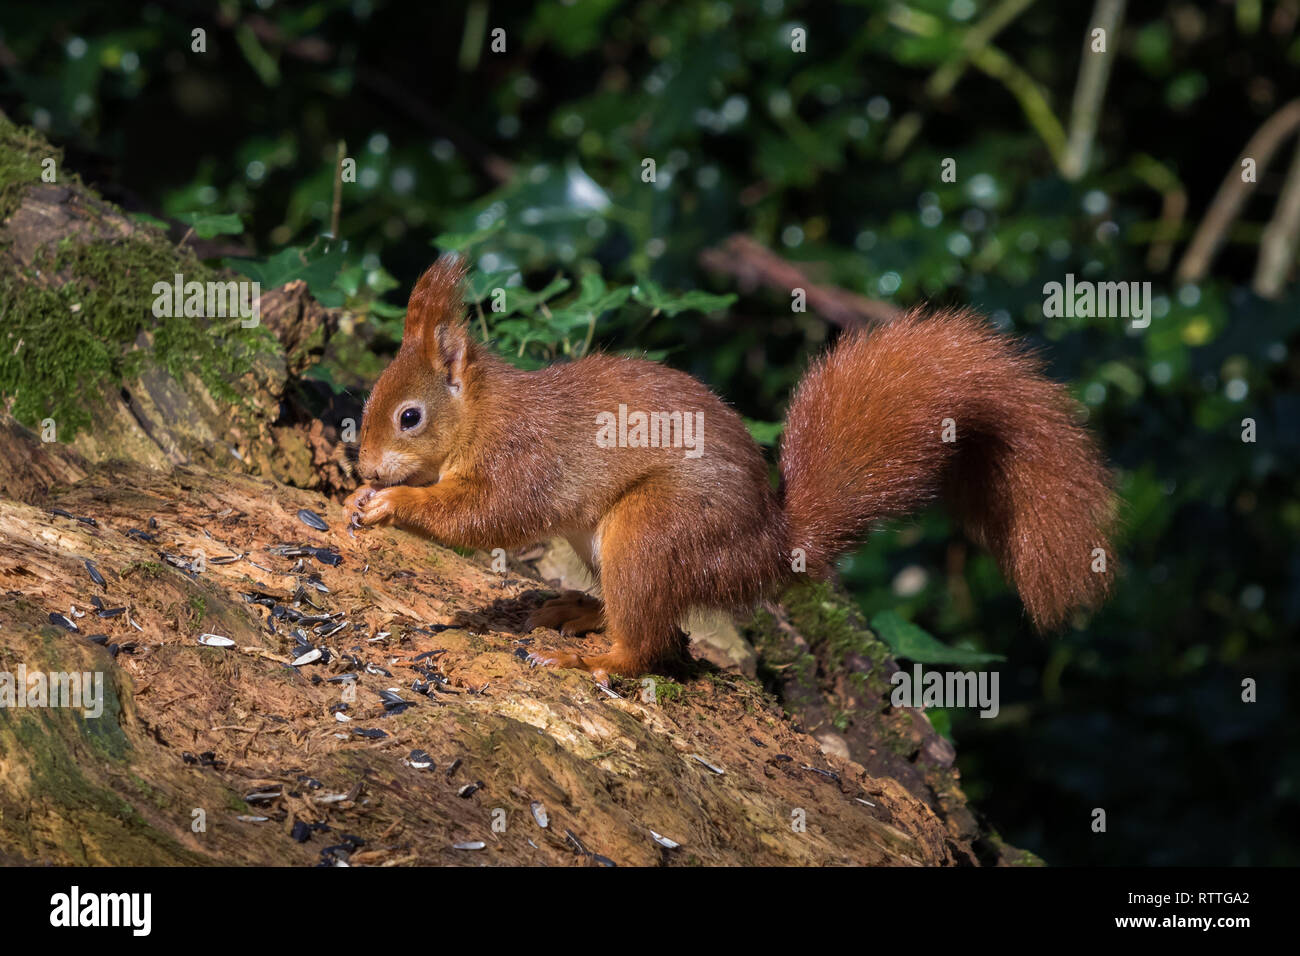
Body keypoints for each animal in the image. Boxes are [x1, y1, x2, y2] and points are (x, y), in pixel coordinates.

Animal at [346, 254, 1115, 682]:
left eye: (409, 416)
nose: (369, 467)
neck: (483, 413)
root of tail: (767, 547)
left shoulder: (524, 456)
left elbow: (487, 513)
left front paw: (392, 506)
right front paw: (361, 498)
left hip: (653, 531)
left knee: (651, 644)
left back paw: (593, 657)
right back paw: (577, 610)